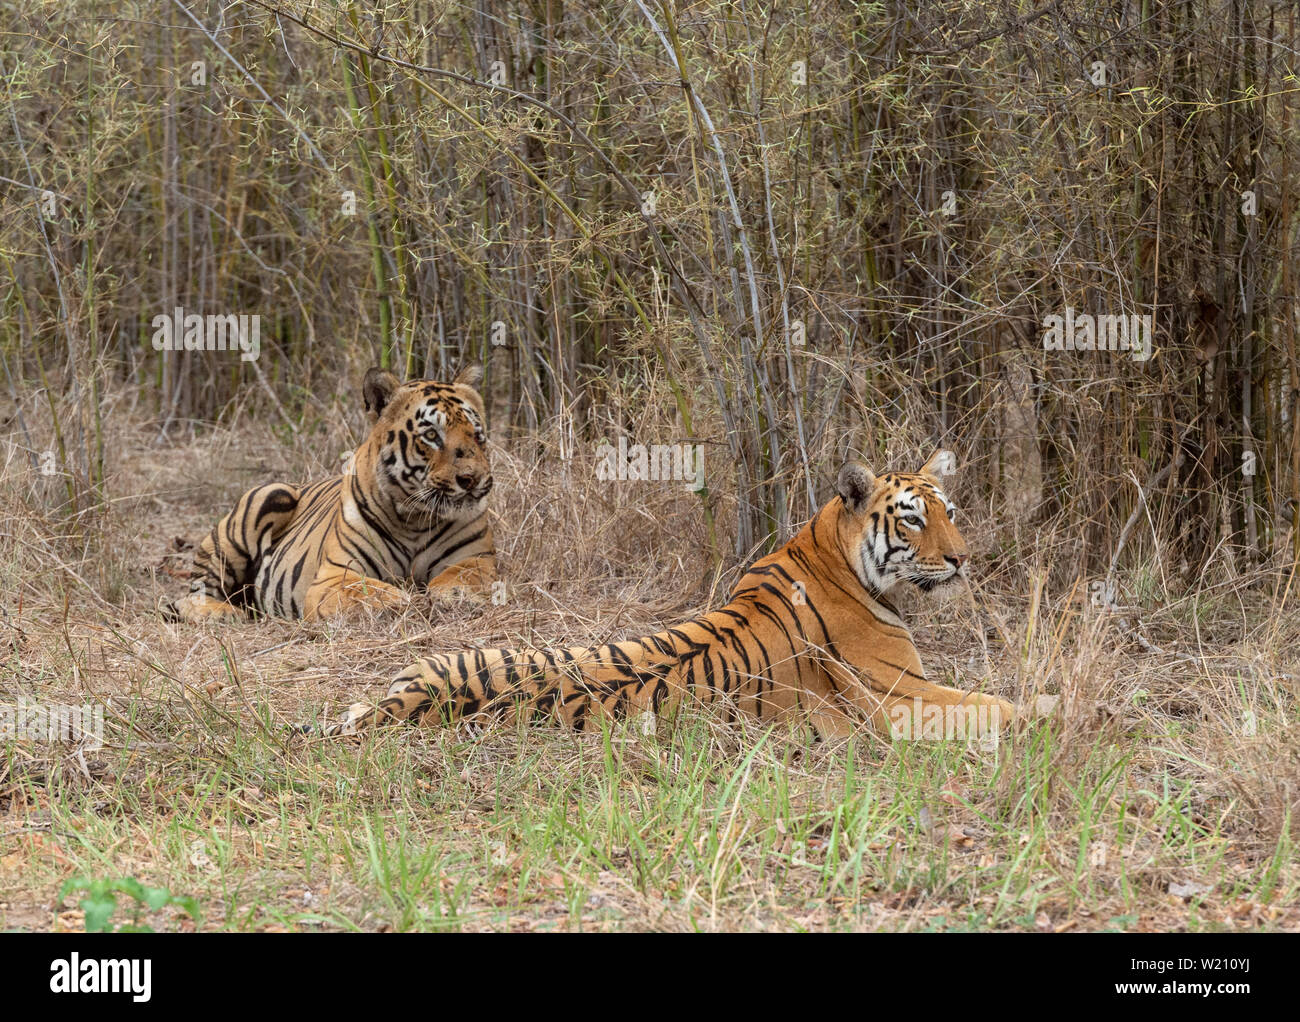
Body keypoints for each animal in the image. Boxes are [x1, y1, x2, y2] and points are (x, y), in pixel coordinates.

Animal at [167, 364, 497, 622]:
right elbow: (367, 590)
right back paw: (221, 613)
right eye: (431, 435)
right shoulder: (335, 574)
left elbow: (461, 576)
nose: (472, 479)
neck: (414, 518)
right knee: (193, 593)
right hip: (267, 500)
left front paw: (452, 593)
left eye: (477, 435)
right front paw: (401, 599)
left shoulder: (477, 559)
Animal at [327, 450, 1015, 740]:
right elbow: (1000, 706)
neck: (829, 549)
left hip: (432, 662)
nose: (963, 558)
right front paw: (1040, 712)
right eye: (913, 520)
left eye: (950, 512)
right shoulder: (901, 695)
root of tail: (408, 700)